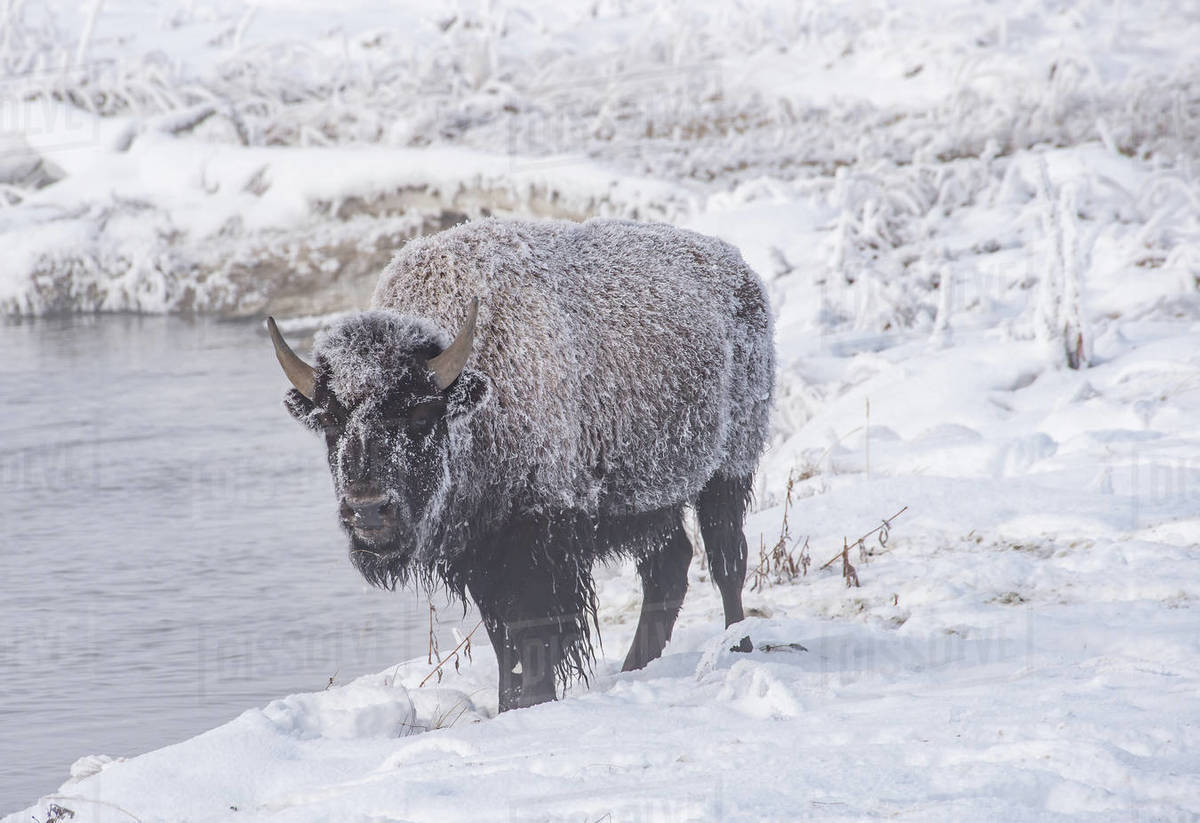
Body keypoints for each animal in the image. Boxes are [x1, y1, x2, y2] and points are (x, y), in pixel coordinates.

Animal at [268, 217, 774, 711]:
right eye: (331, 420)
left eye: (419, 413)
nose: (369, 509)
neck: (478, 393)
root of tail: (740, 271)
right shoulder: (481, 555)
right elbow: (503, 640)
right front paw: (510, 703)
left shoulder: (540, 542)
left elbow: (536, 632)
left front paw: (533, 699)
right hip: (649, 501)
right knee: (669, 567)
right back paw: (635, 668)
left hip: (728, 472)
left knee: (727, 561)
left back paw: (737, 647)